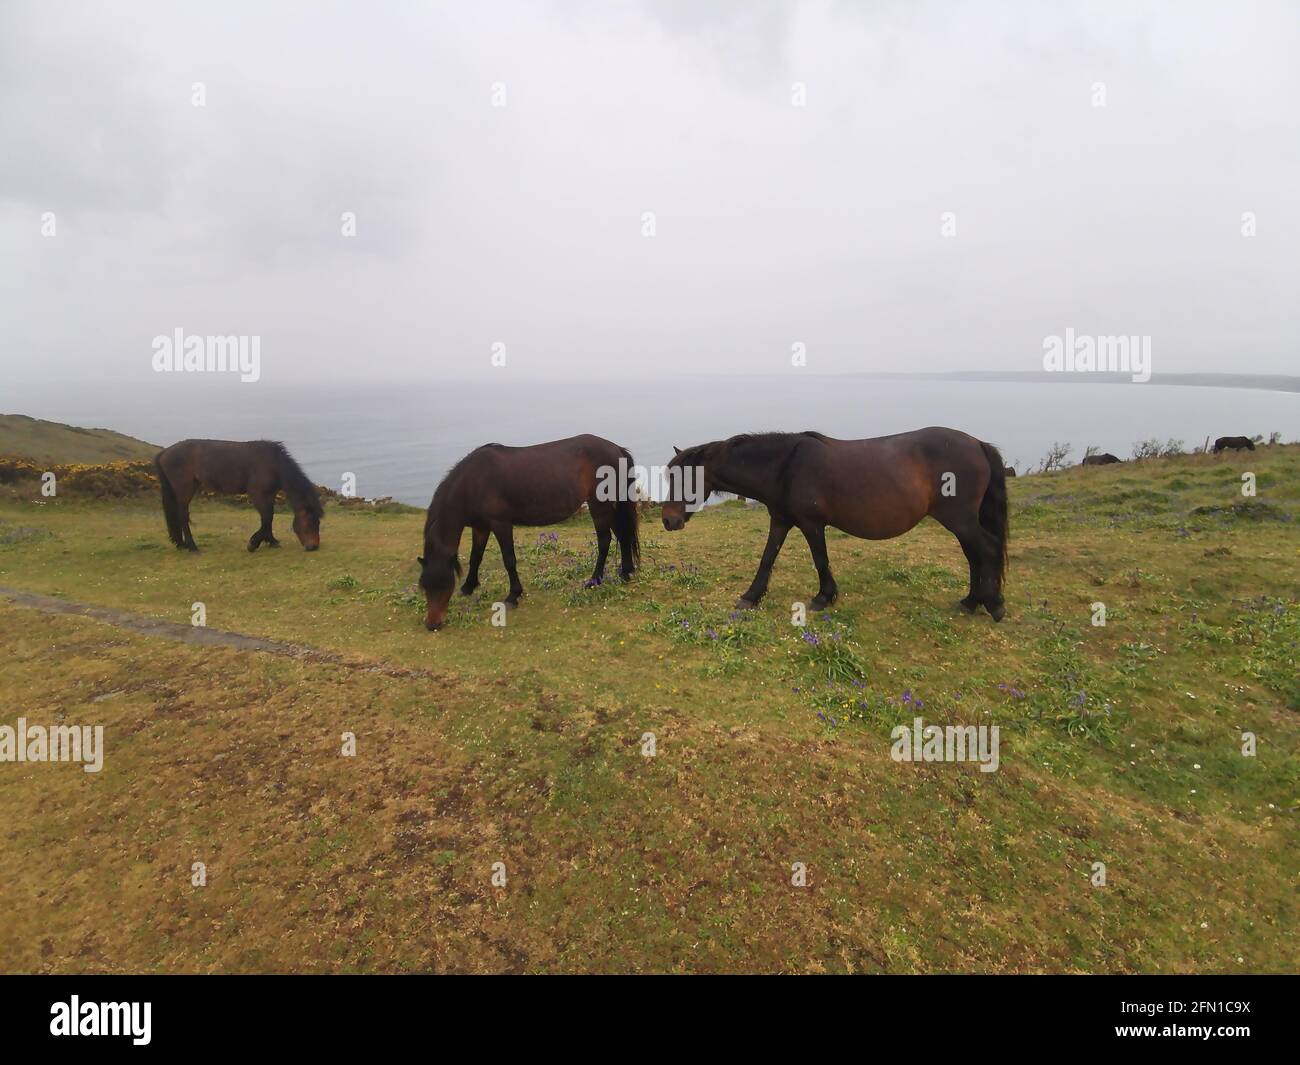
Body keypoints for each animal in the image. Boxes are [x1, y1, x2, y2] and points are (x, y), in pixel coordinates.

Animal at [154, 439, 322, 552]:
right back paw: (192, 546)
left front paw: (271, 541)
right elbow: (266, 518)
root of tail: (165, 452)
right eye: (311, 522)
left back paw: (181, 544)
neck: (273, 463)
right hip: (185, 490)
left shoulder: (269, 495)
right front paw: (253, 543)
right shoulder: (257, 494)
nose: (314, 546)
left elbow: (269, 518)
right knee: (182, 516)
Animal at [418, 435, 640, 631]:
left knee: (605, 541)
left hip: (599, 506)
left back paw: (594, 580)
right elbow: (476, 557)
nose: (432, 624)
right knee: (622, 535)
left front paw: (513, 596)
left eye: (444, 585)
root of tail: (616, 448)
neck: (473, 481)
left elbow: (509, 560)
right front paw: (468, 586)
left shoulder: (501, 524)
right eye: (425, 586)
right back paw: (626, 572)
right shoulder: (481, 527)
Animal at [661, 427, 1009, 620]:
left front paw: (823, 598)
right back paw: (971, 601)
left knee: (987, 550)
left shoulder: (811, 523)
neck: (785, 466)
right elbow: (767, 558)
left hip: (960, 519)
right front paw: (750, 596)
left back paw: (993, 605)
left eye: (686, 478)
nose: (668, 520)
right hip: (962, 521)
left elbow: (820, 559)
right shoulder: (781, 520)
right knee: (974, 555)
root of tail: (978, 443)